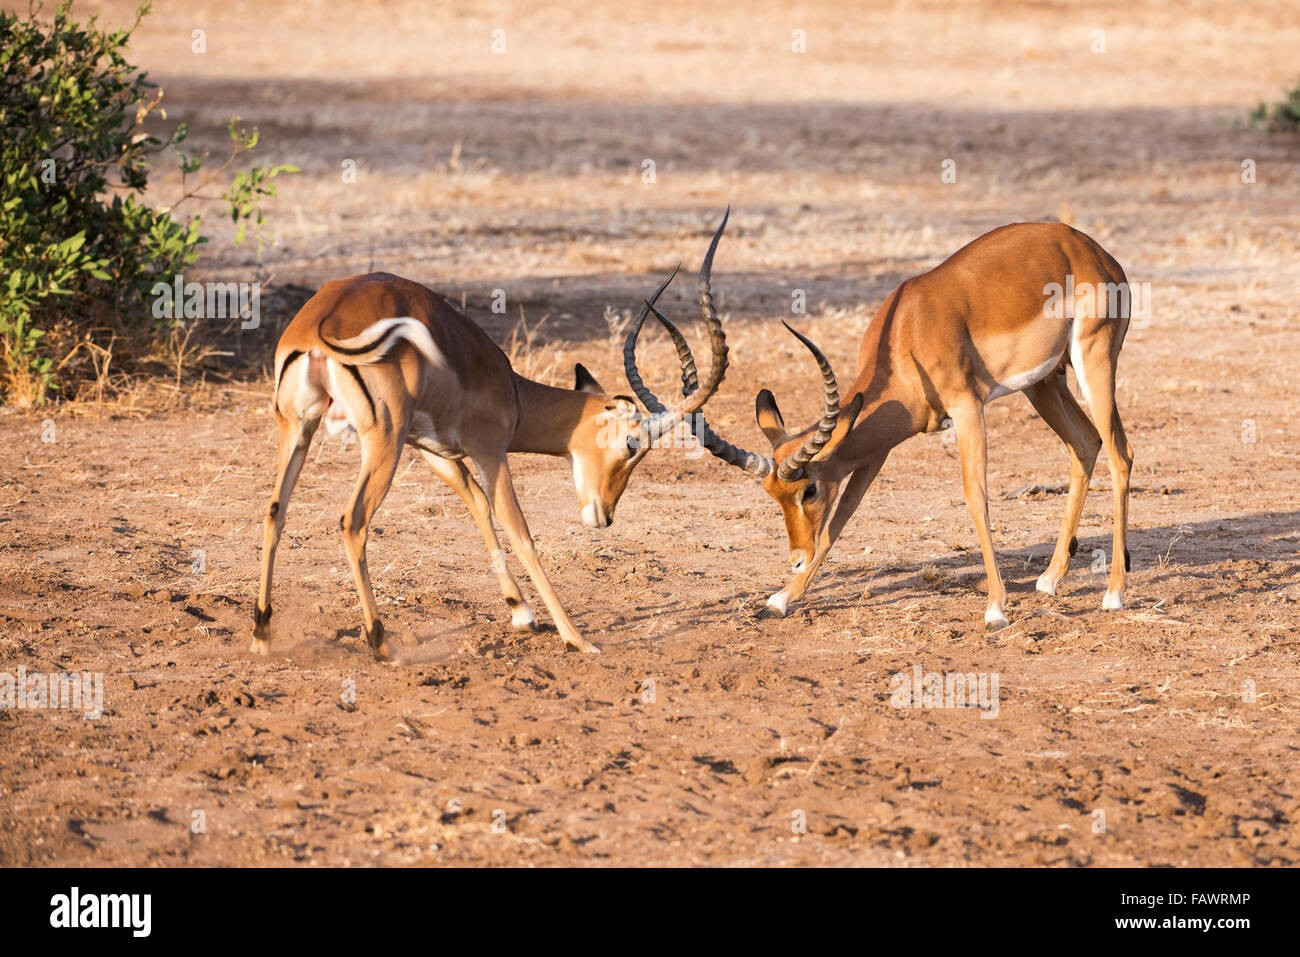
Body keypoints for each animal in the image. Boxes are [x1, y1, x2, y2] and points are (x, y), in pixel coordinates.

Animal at [254, 242, 727, 659]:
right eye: (633, 445)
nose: (604, 516)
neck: (513, 393)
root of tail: (319, 326)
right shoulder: (489, 451)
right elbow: (520, 531)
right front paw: (577, 639)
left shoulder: (435, 452)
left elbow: (480, 506)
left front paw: (522, 614)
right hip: (380, 440)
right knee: (352, 521)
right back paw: (380, 643)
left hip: (299, 427)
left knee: (275, 511)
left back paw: (262, 631)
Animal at [626, 220, 1135, 629]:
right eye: (773, 497)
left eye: (807, 490)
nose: (795, 559)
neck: (908, 334)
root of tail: (1095, 252)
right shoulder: (877, 446)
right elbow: (842, 519)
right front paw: (781, 599)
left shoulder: (967, 408)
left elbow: (976, 496)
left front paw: (995, 609)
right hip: (1045, 383)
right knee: (1085, 444)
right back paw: (1050, 579)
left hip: (1093, 361)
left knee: (1120, 453)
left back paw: (1113, 594)